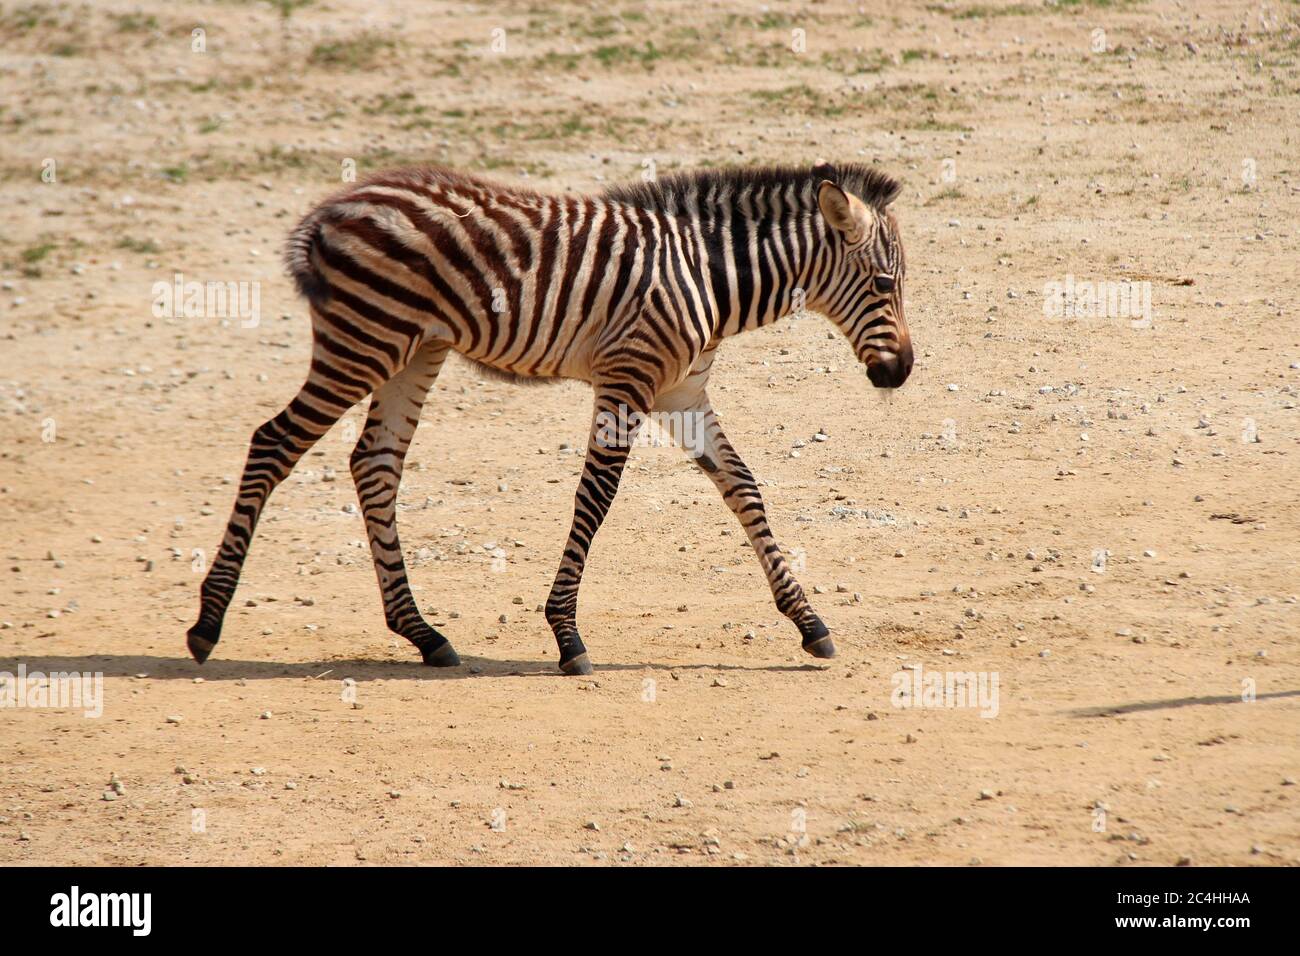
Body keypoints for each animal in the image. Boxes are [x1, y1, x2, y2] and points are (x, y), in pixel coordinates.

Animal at [186, 161, 913, 675]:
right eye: (884, 285)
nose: (902, 372)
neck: (709, 276)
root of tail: (334, 207)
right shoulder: (629, 377)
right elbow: (595, 497)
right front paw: (566, 635)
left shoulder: (683, 395)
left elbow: (744, 488)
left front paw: (808, 621)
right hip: (364, 340)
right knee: (273, 442)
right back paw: (207, 624)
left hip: (414, 349)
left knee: (375, 464)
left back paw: (423, 634)